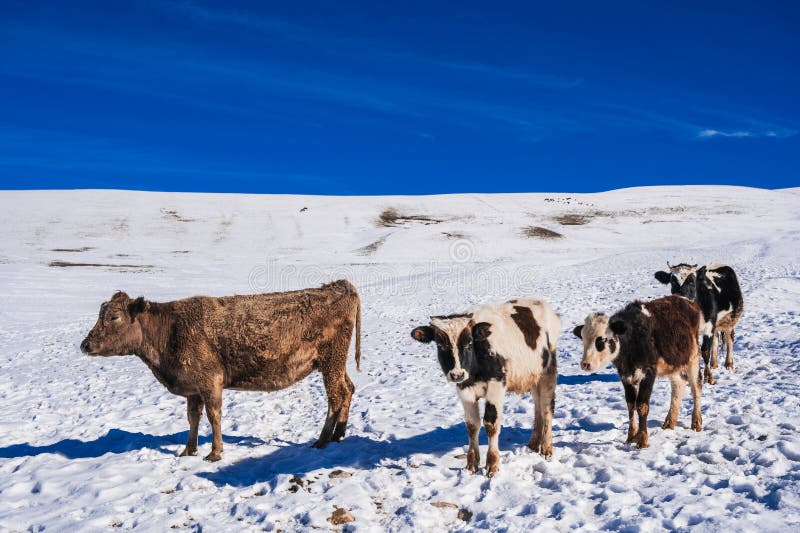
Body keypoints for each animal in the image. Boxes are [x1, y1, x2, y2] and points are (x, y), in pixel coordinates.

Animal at [80, 280, 361, 461]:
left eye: (114, 317)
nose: (85, 345)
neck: (169, 332)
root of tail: (339, 285)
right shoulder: (193, 388)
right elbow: (193, 418)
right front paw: (188, 450)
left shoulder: (210, 381)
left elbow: (214, 416)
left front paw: (215, 452)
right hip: (335, 363)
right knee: (348, 389)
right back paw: (338, 435)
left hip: (331, 361)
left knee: (335, 397)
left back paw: (322, 440)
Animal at [410, 299, 561, 477]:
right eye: (440, 345)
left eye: (469, 344)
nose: (456, 374)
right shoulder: (464, 390)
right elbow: (472, 425)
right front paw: (471, 464)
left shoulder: (496, 386)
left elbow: (491, 424)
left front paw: (492, 464)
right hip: (533, 377)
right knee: (538, 407)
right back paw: (533, 443)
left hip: (548, 372)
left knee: (547, 409)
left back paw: (546, 448)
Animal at [573, 295, 702, 449]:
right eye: (583, 339)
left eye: (602, 339)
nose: (585, 364)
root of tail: (686, 300)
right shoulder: (625, 376)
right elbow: (630, 404)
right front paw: (631, 437)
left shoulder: (648, 373)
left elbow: (642, 405)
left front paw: (642, 440)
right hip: (674, 364)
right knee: (678, 386)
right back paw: (669, 422)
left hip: (693, 358)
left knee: (696, 388)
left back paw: (696, 422)